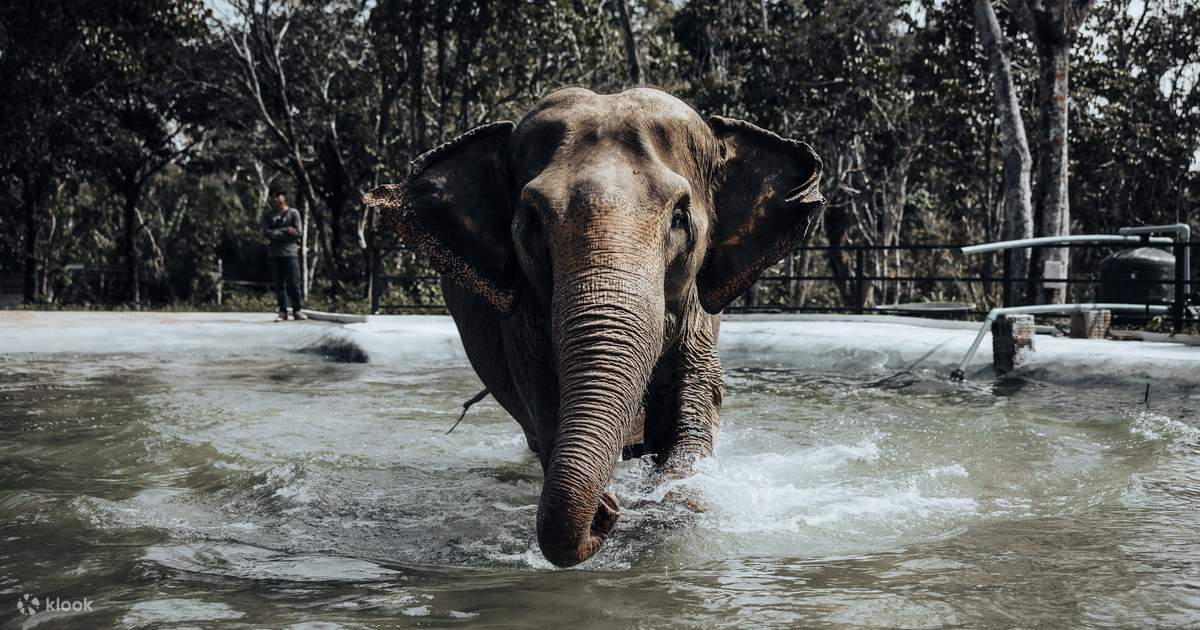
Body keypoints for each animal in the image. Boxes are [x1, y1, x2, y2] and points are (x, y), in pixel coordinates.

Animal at [364, 87, 824, 568]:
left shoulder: (697, 311)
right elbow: (545, 402)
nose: (606, 509)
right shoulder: (523, 322)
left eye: (680, 218)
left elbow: (695, 404)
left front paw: (671, 507)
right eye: (532, 222)